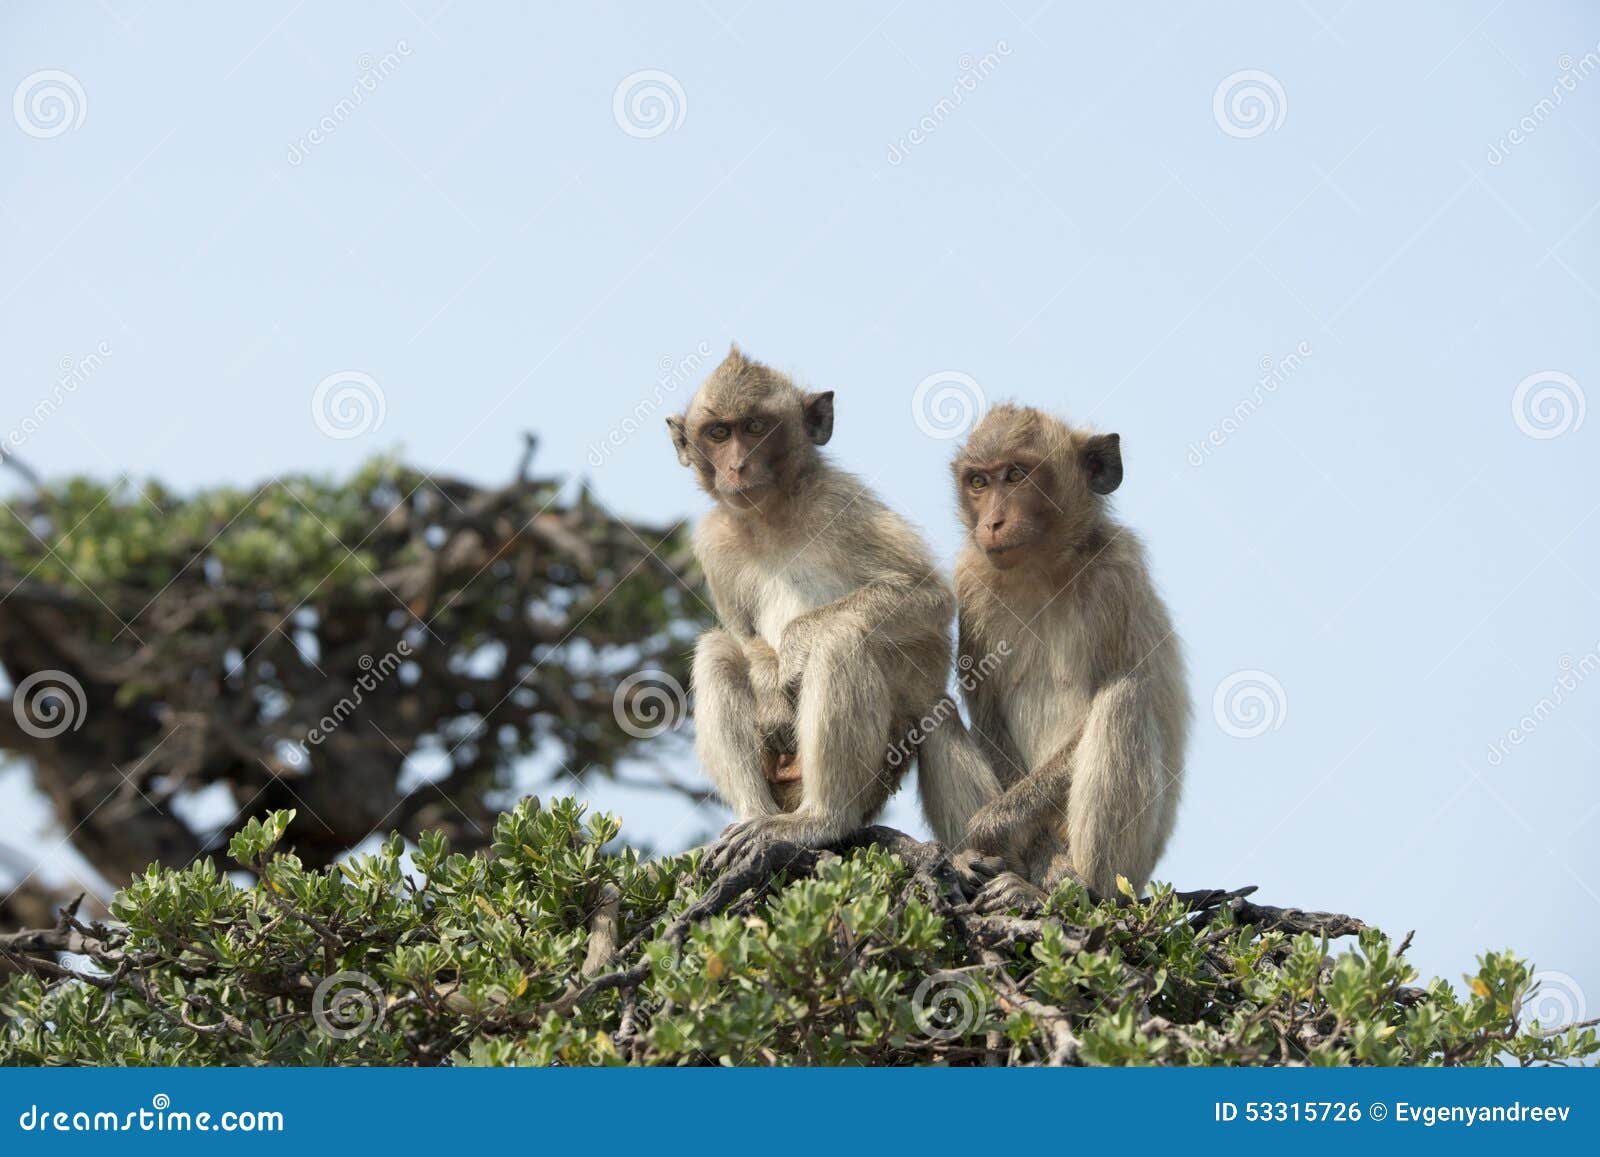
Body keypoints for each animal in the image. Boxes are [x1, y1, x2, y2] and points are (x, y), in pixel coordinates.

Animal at [666, 346, 999, 864]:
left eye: (756, 427)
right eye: (719, 433)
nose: (737, 466)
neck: (772, 515)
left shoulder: (841, 500)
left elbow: (927, 596)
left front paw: (796, 643)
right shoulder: (714, 539)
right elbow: (741, 634)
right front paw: (768, 679)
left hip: (879, 770)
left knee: (844, 639)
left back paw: (821, 821)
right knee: (717, 652)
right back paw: (754, 816)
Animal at [949, 404, 1189, 900]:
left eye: (1015, 475)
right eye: (979, 482)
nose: (992, 523)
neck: (1041, 570)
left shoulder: (1117, 577)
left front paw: (996, 823)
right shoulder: (971, 586)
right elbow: (988, 720)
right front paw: (1026, 851)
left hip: (1132, 869)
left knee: (1124, 697)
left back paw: (1079, 889)